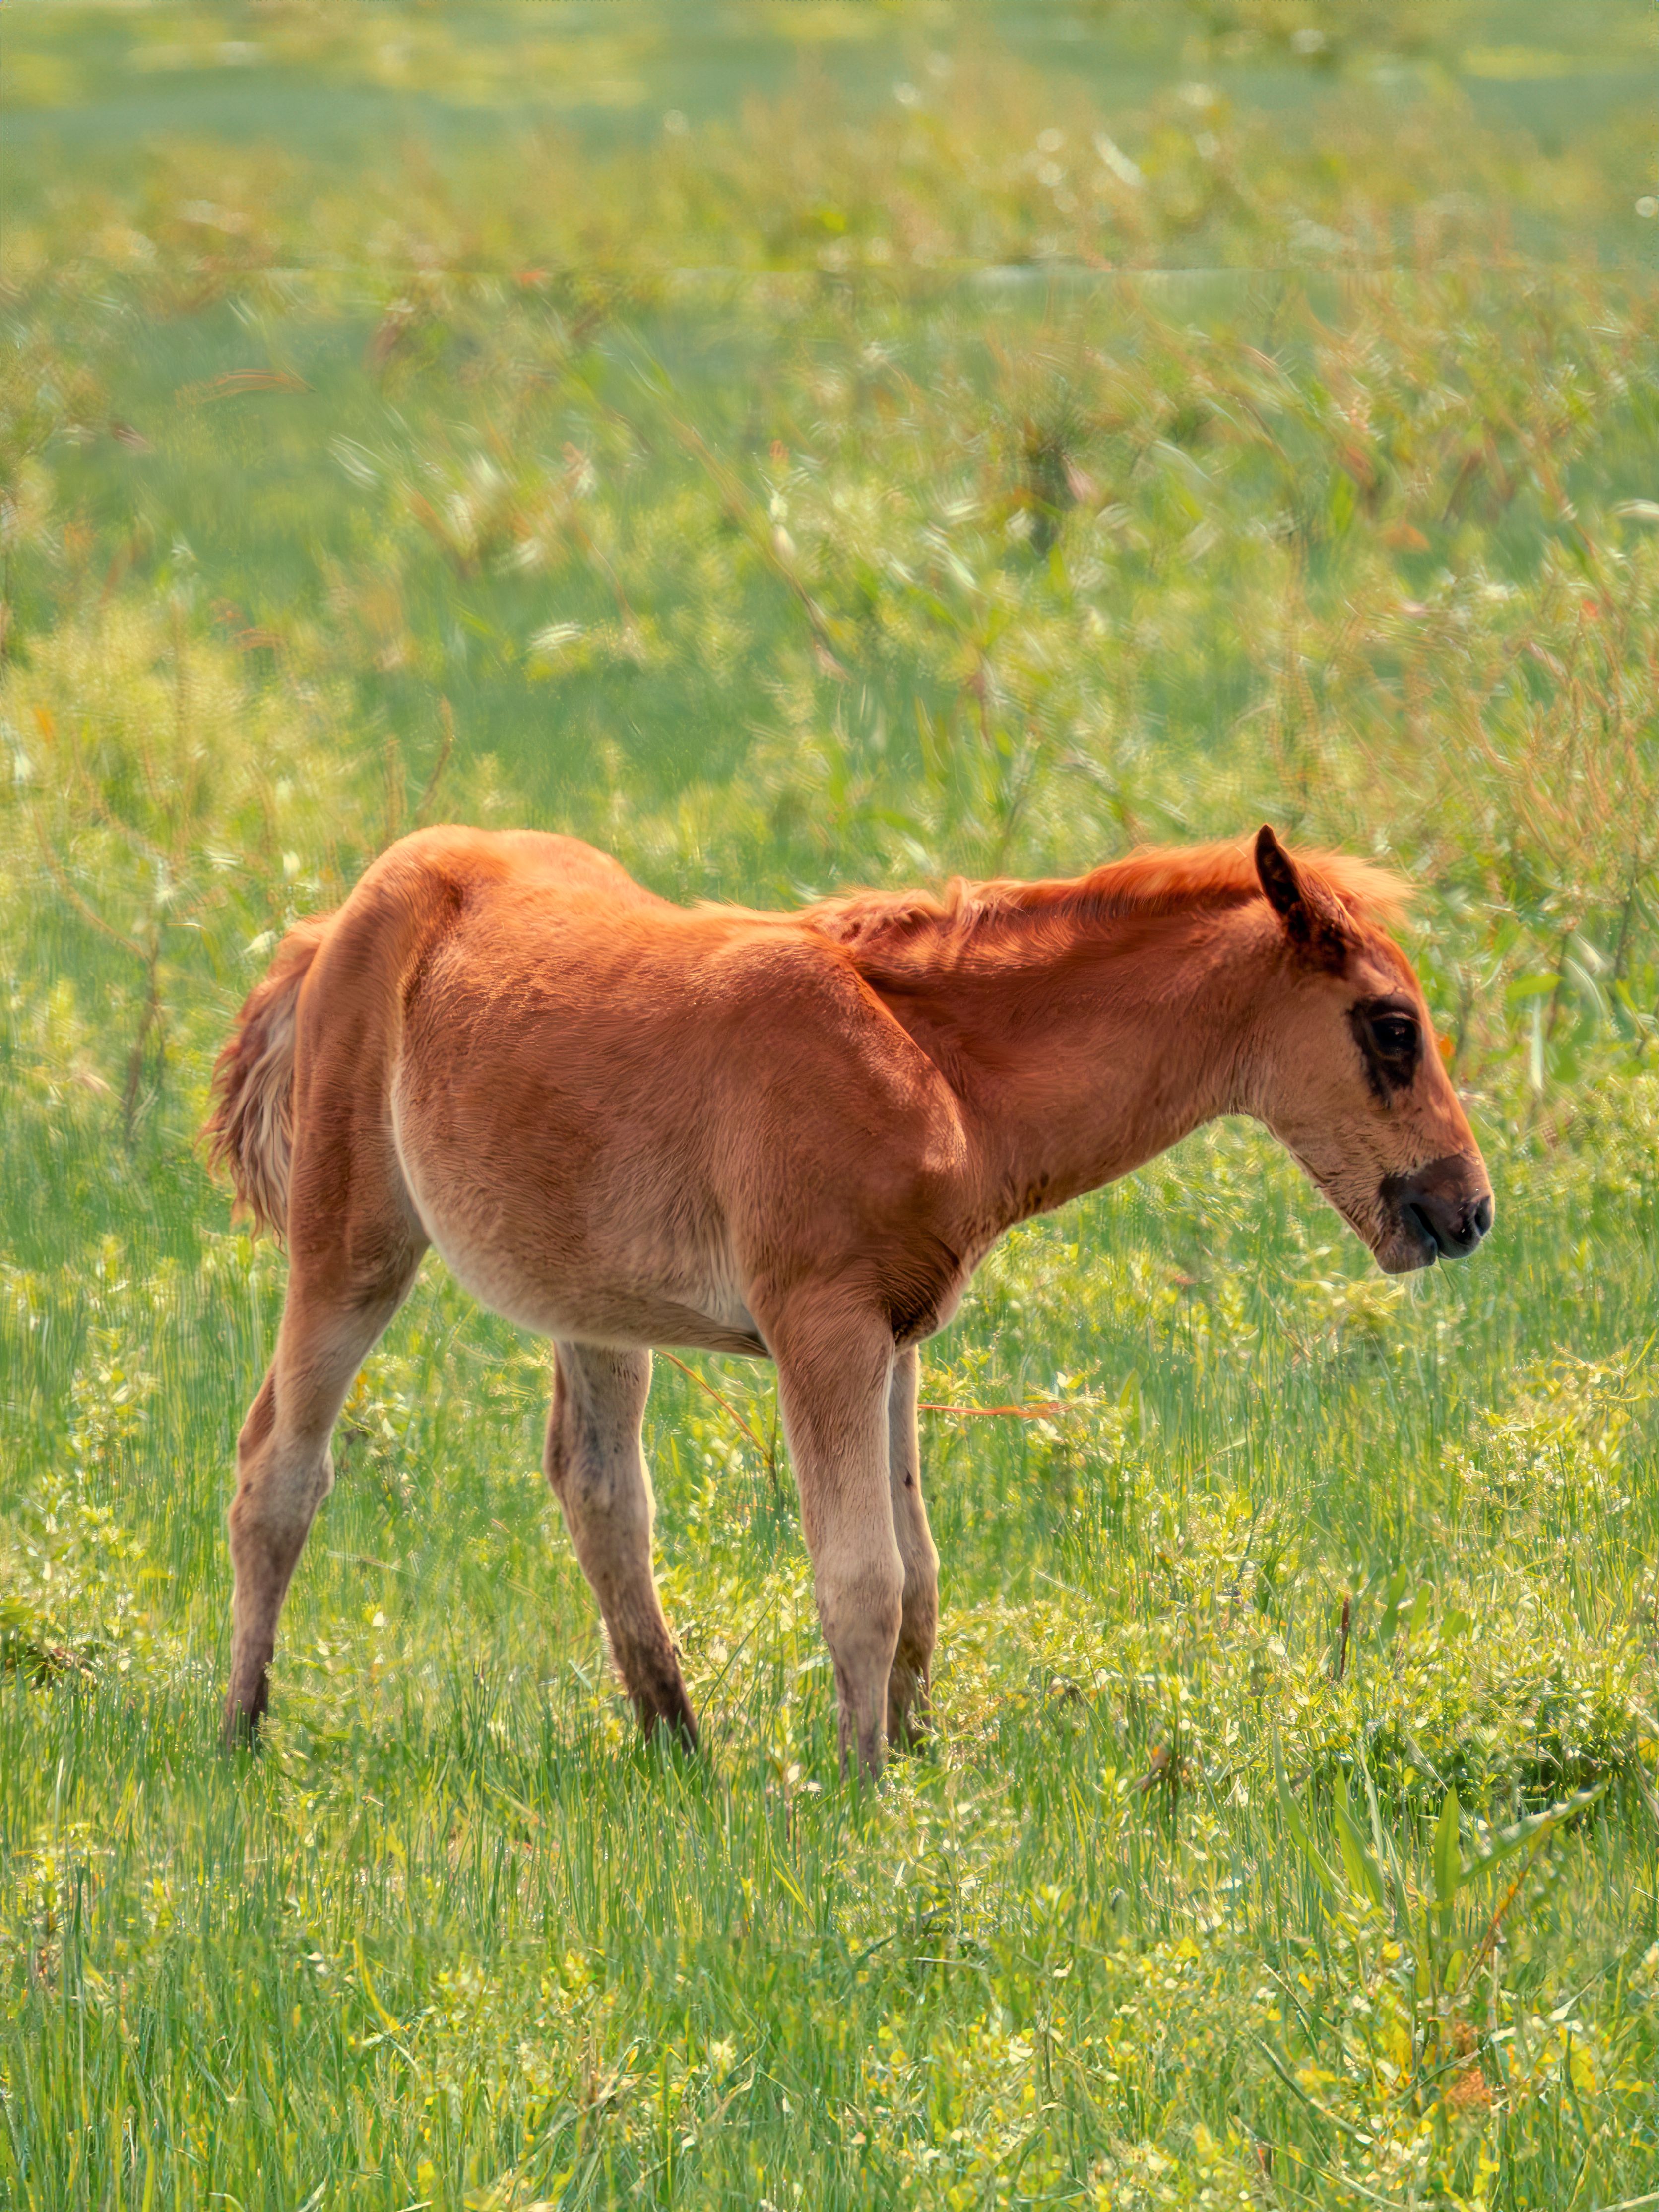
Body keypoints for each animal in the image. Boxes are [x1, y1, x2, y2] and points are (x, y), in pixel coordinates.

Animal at [206, 823, 1492, 1779]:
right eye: (1391, 1026)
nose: (1466, 1207)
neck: (934, 1064)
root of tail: (342, 913)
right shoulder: (819, 1326)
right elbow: (860, 1574)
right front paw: (862, 1788)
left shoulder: (899, 1335)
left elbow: (917, 1569)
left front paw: (915, 1763)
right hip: (353, 1242)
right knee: (279, 1463)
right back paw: (240, 1731)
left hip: (590, 1296)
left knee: (601, 1493)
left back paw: (679, 1747)